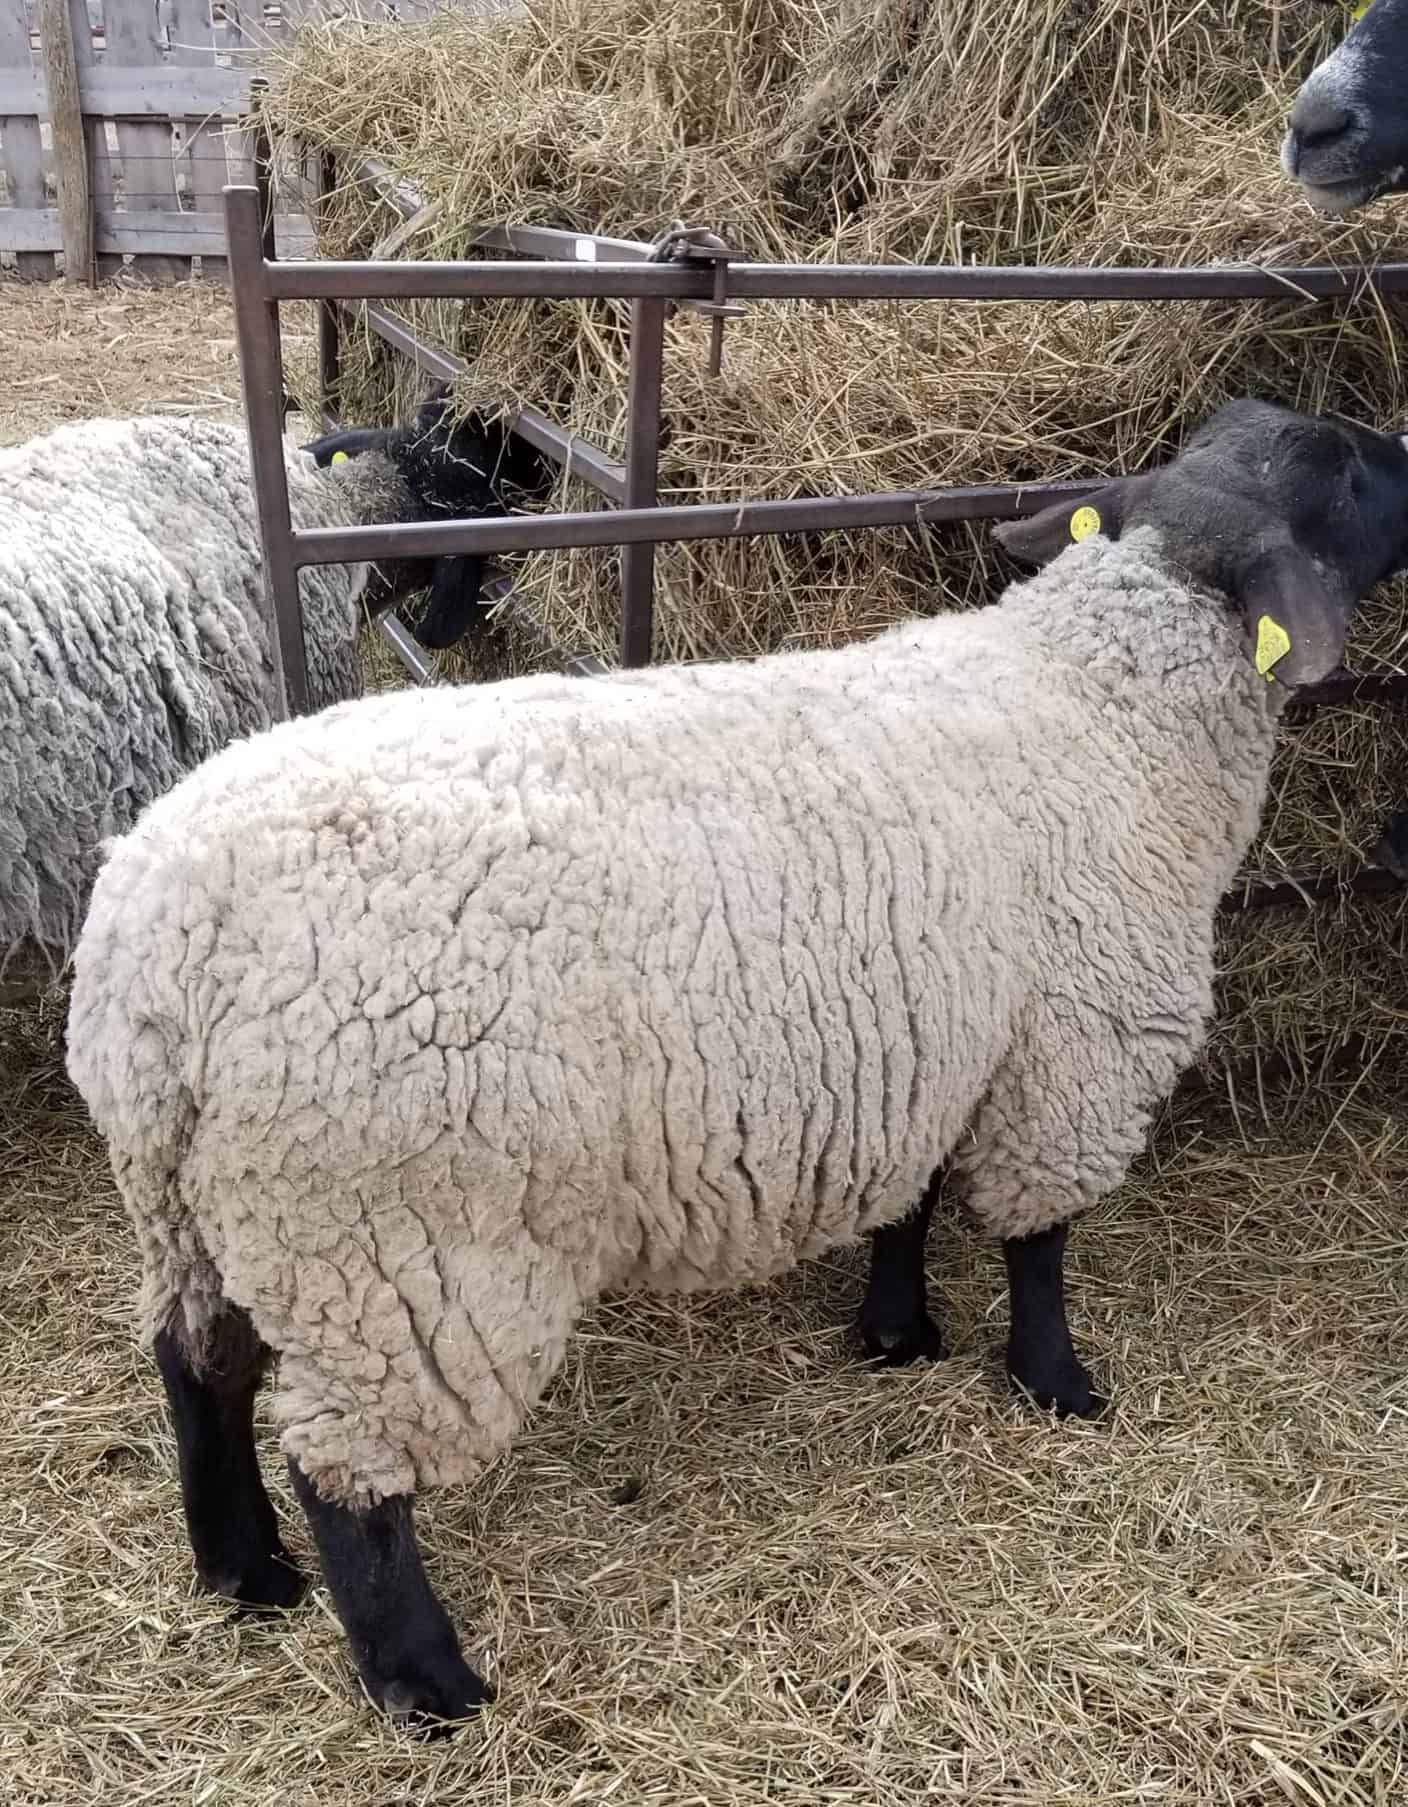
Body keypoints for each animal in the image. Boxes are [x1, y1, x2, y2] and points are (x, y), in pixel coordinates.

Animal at [63, 399, 1408, 1728]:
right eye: (1347, 471)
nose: (1407, 453)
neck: (1108, 700)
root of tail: (156, 941)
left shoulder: (925, 1039)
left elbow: (910, 1203)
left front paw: (896, 1331)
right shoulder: (1073, 1055)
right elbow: (1038, 1243)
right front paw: (1054, 1380)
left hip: (206, 1207)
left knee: (197, 1365)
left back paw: (243, 1569)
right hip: (395, 1246)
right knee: (346, 1469)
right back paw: (423, 1679)